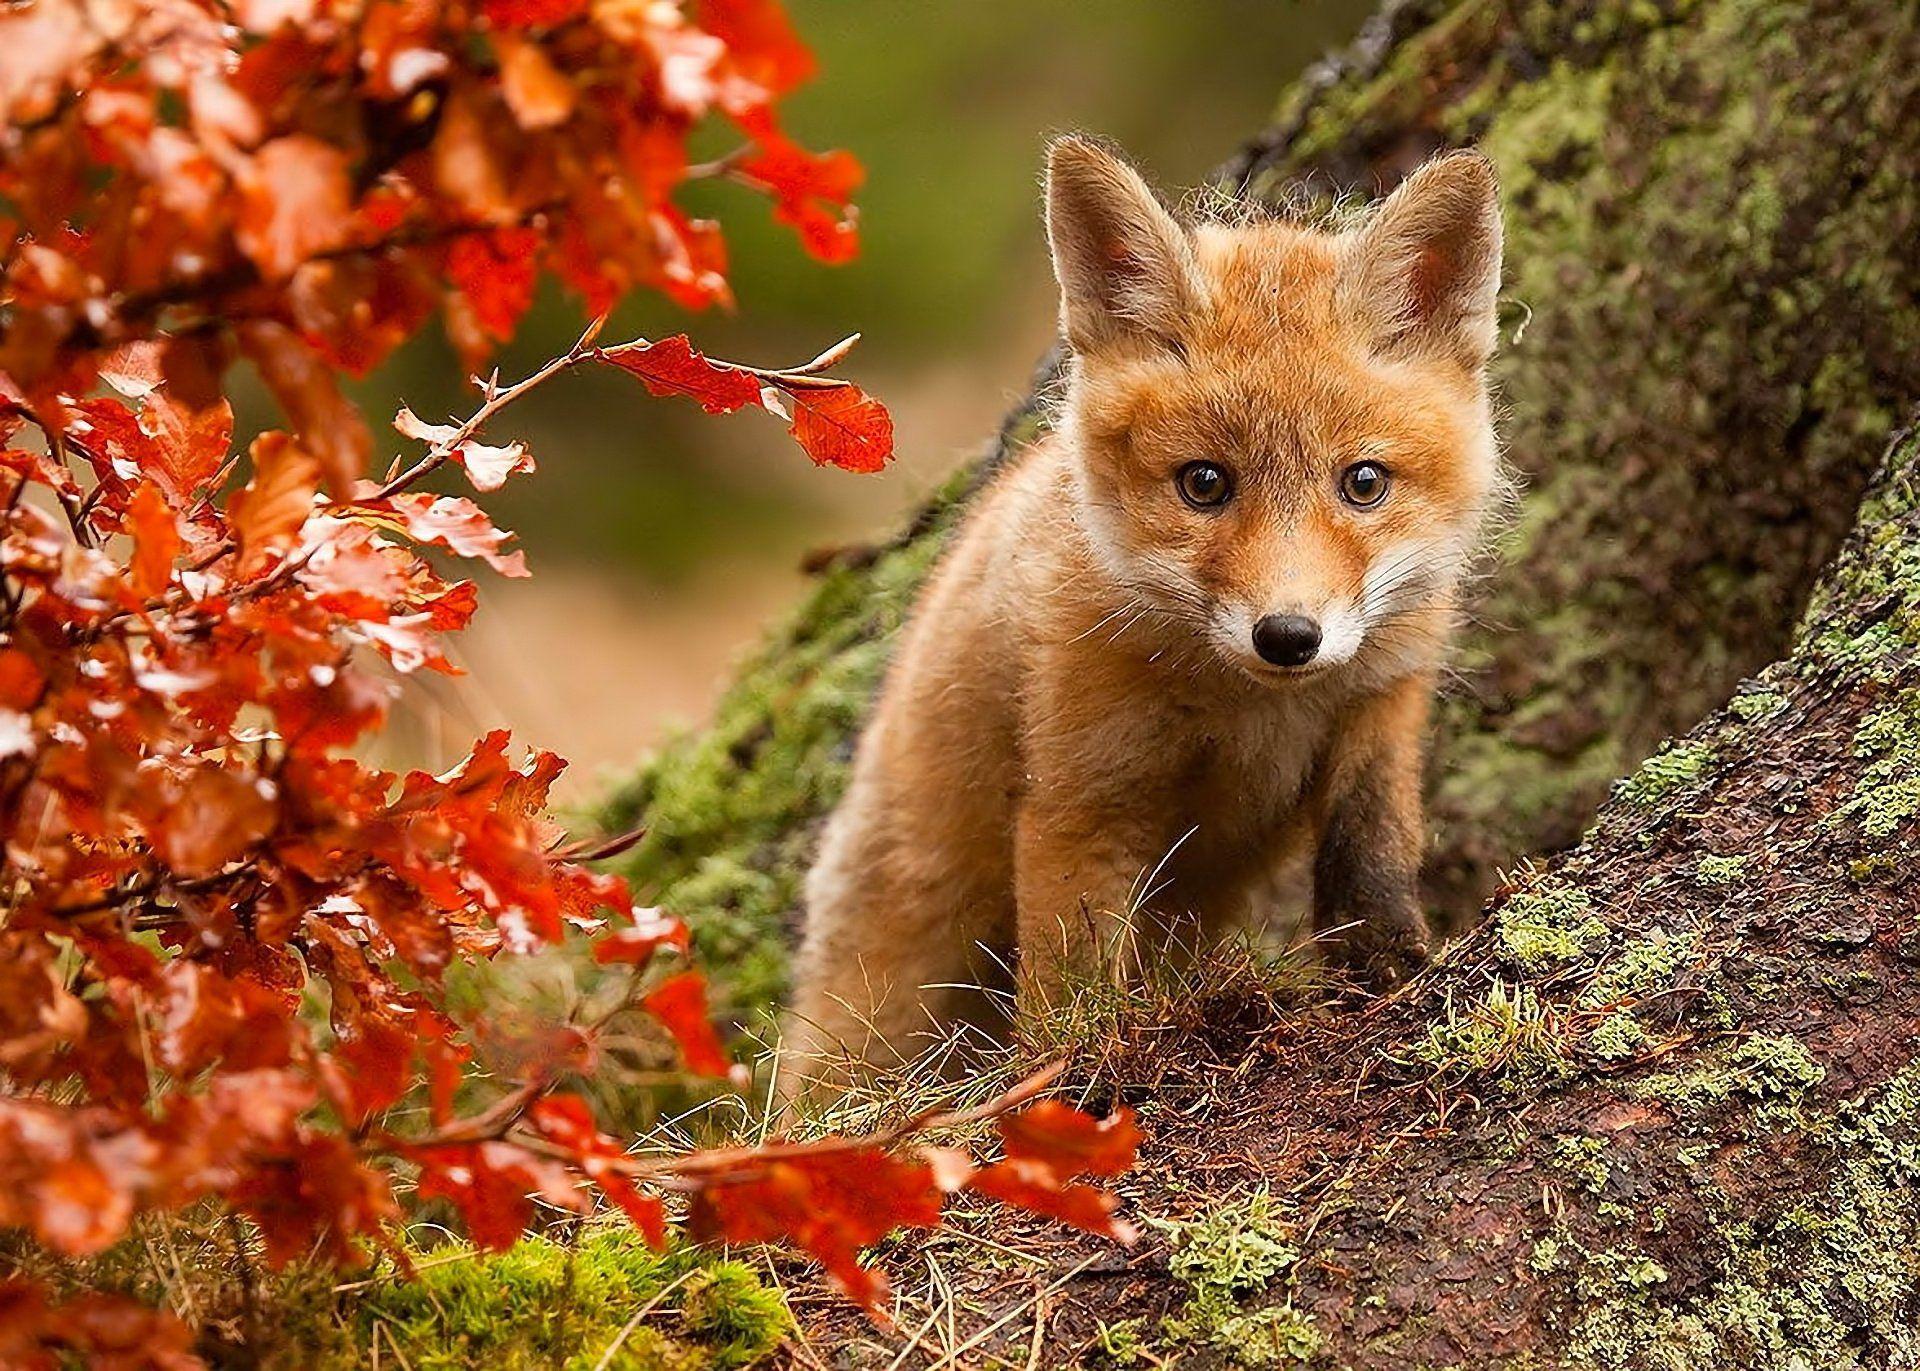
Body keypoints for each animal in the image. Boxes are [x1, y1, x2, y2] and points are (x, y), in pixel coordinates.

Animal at [783, 137, 1504, 1089]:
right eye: (1204, 484)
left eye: (1363, 482)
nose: (1287, 637)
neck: (1253, 711)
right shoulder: (1082, 797)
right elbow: (1072, 979)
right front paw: (1072, 1075)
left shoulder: (1381, 713)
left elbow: (1372, 861)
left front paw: (1392, 974)